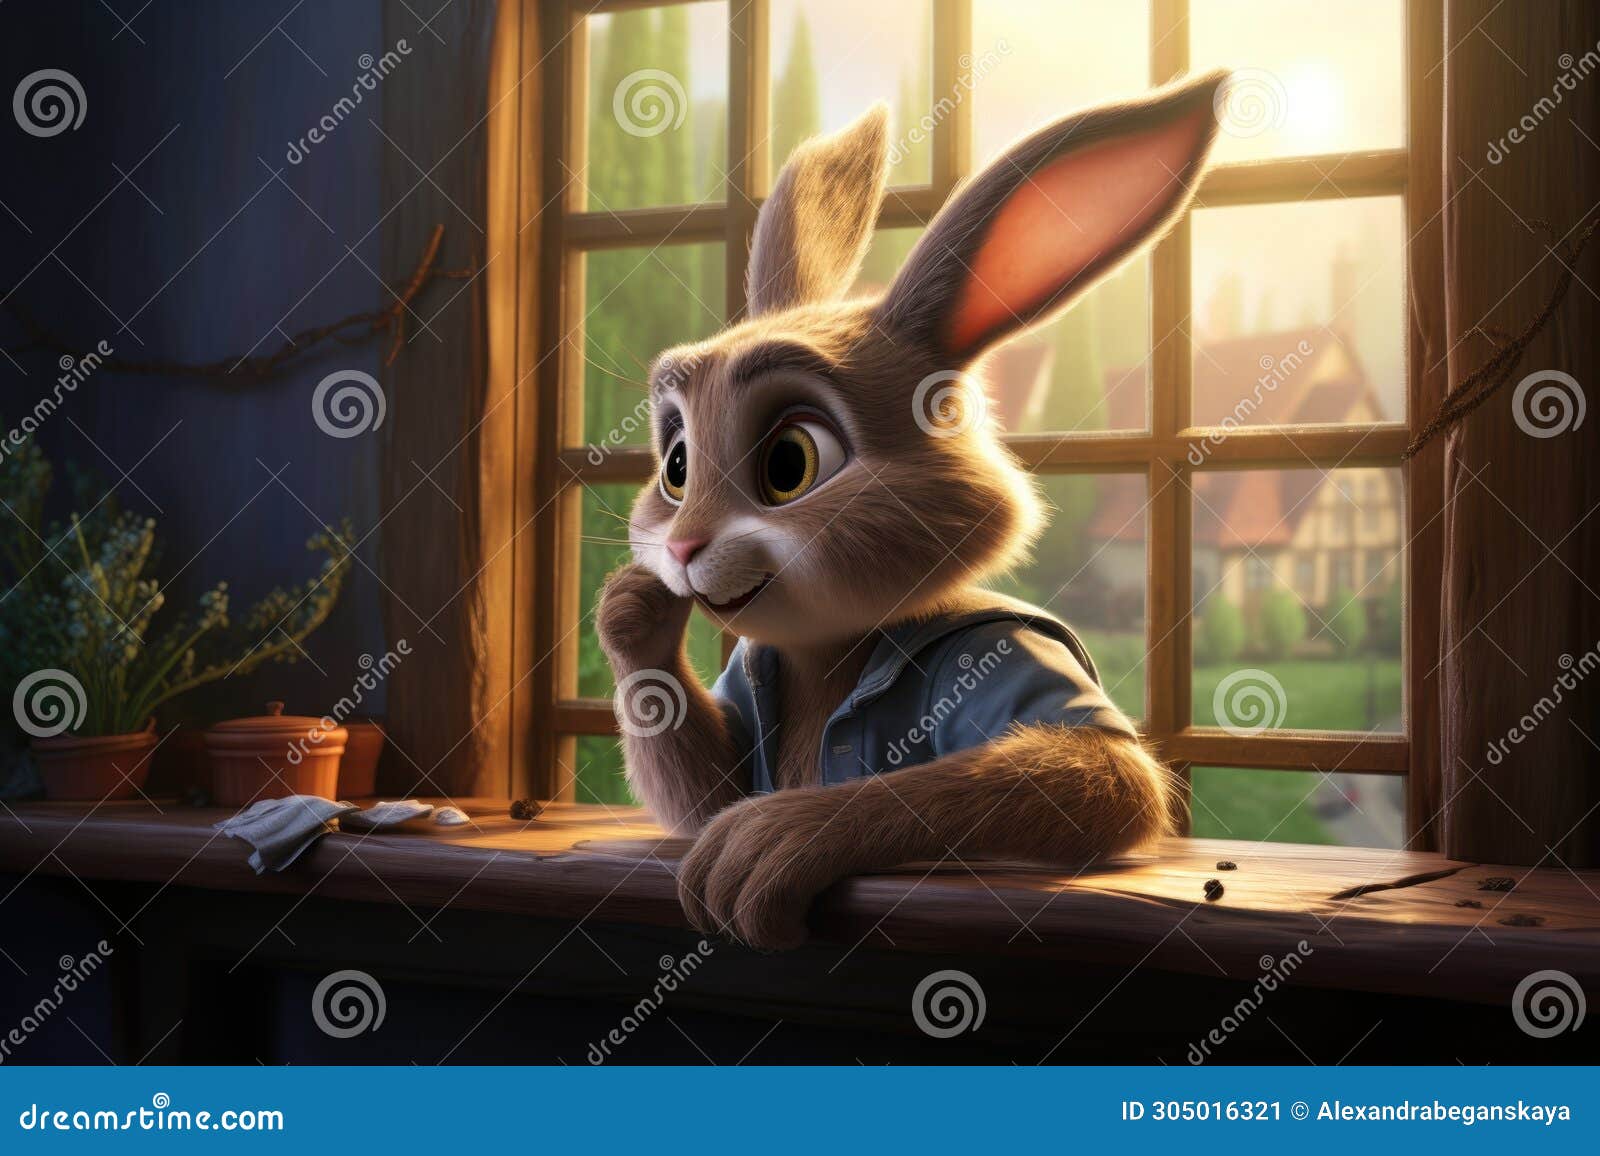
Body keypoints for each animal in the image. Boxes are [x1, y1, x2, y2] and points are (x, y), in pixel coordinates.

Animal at [597, 70, 1229, 950]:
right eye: (677, 466)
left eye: (790, 464)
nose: (684, 551)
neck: (831, 654)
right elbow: (706, 797)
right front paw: (632, 608)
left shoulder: (997, 650)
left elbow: (1108, 772)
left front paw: (776, 839)